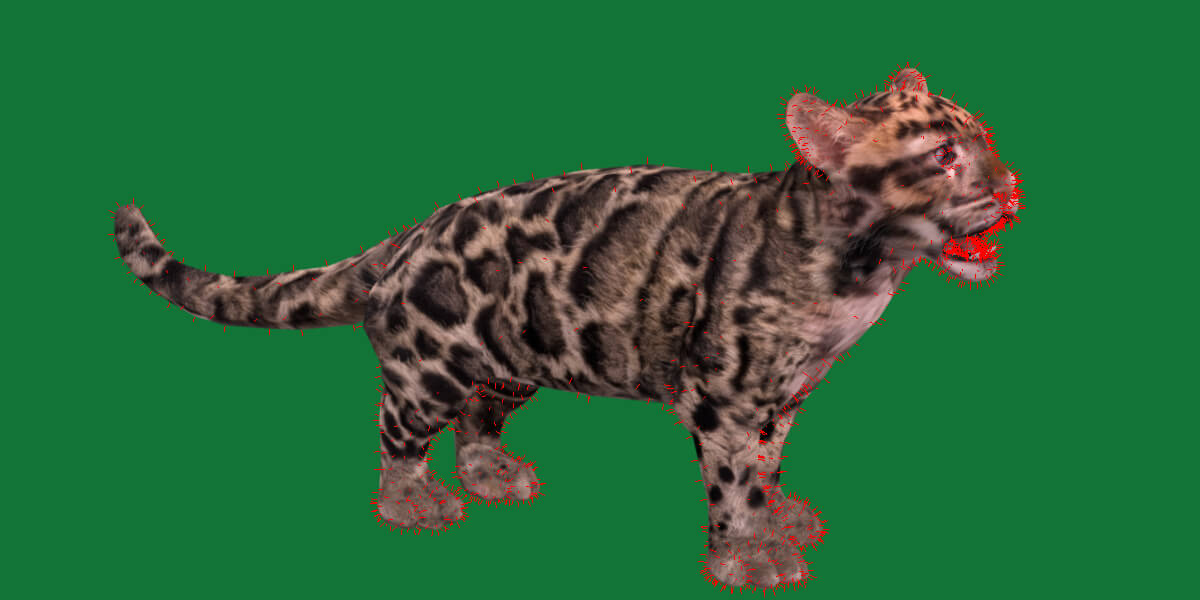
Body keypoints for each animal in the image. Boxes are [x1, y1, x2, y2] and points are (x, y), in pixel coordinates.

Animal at [112, 66, 1022, 589]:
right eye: (942, 156)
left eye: (984, 136)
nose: (1011, 189)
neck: (862, 275)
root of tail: (408, 235)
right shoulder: (723, 396)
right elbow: (733, 481)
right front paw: (747, 553)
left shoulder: (787, 395)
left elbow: (769, 464)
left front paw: (779, 512)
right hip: (428, 364)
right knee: (397, 429)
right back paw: (412, 501)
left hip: (511, 359)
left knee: (477, 416)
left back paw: (490, 474)